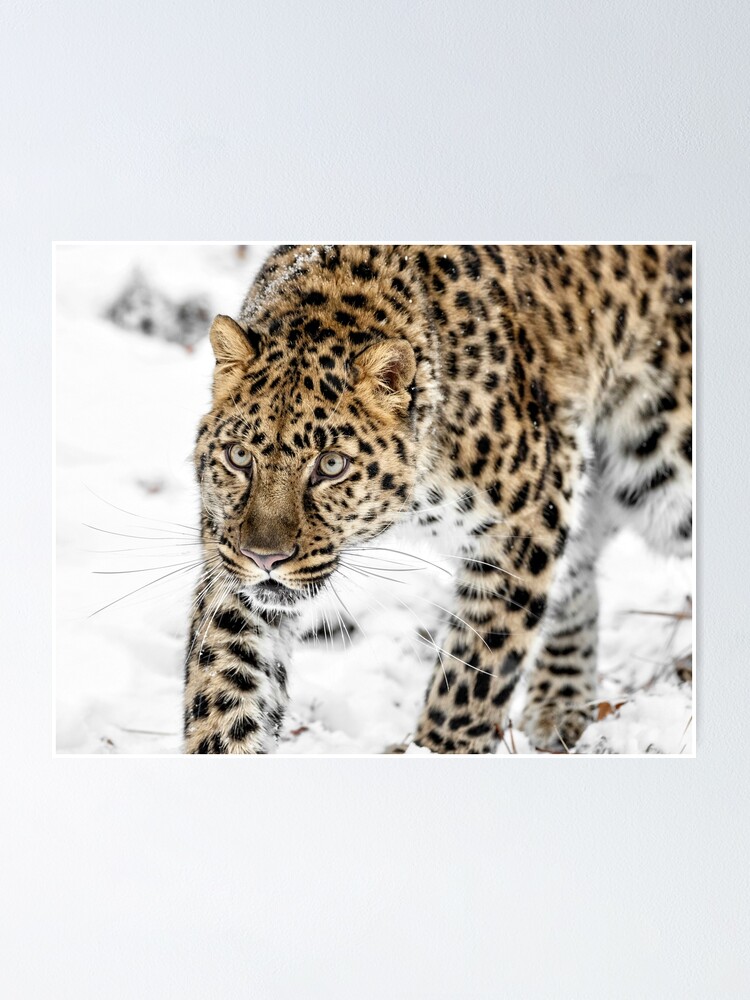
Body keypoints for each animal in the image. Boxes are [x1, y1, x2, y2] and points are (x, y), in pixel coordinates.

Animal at [183, 243, 692, 754]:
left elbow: (475, 672)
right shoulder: (228, 552)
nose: (264, 557)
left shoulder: (529, 518)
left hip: (663, 472)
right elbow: (226, 677)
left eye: (330, 465)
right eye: (239, 456)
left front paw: (438, 749)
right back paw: (560, 701)